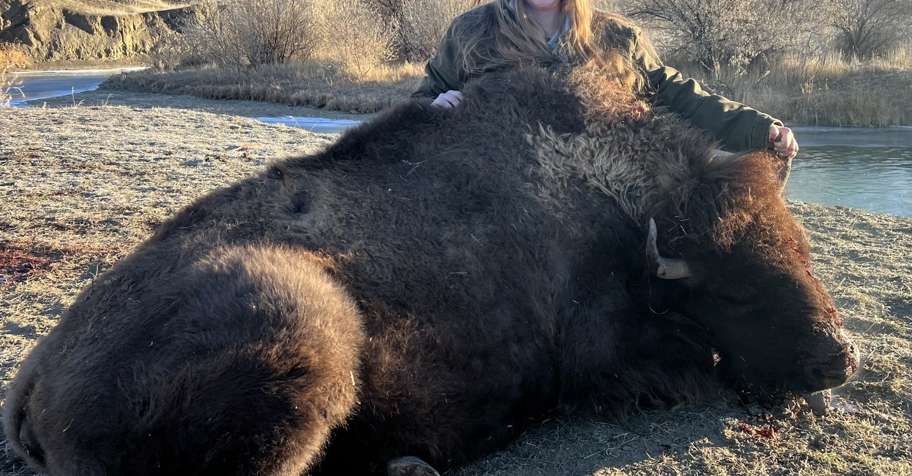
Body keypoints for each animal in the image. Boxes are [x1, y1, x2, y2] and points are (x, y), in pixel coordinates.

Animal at [3, 56, 859, 475]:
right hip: (303, 325)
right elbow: (696, 372)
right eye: (736, 292)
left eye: (804, 255)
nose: (841, 360)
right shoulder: (609, 361)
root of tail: (33, 378)